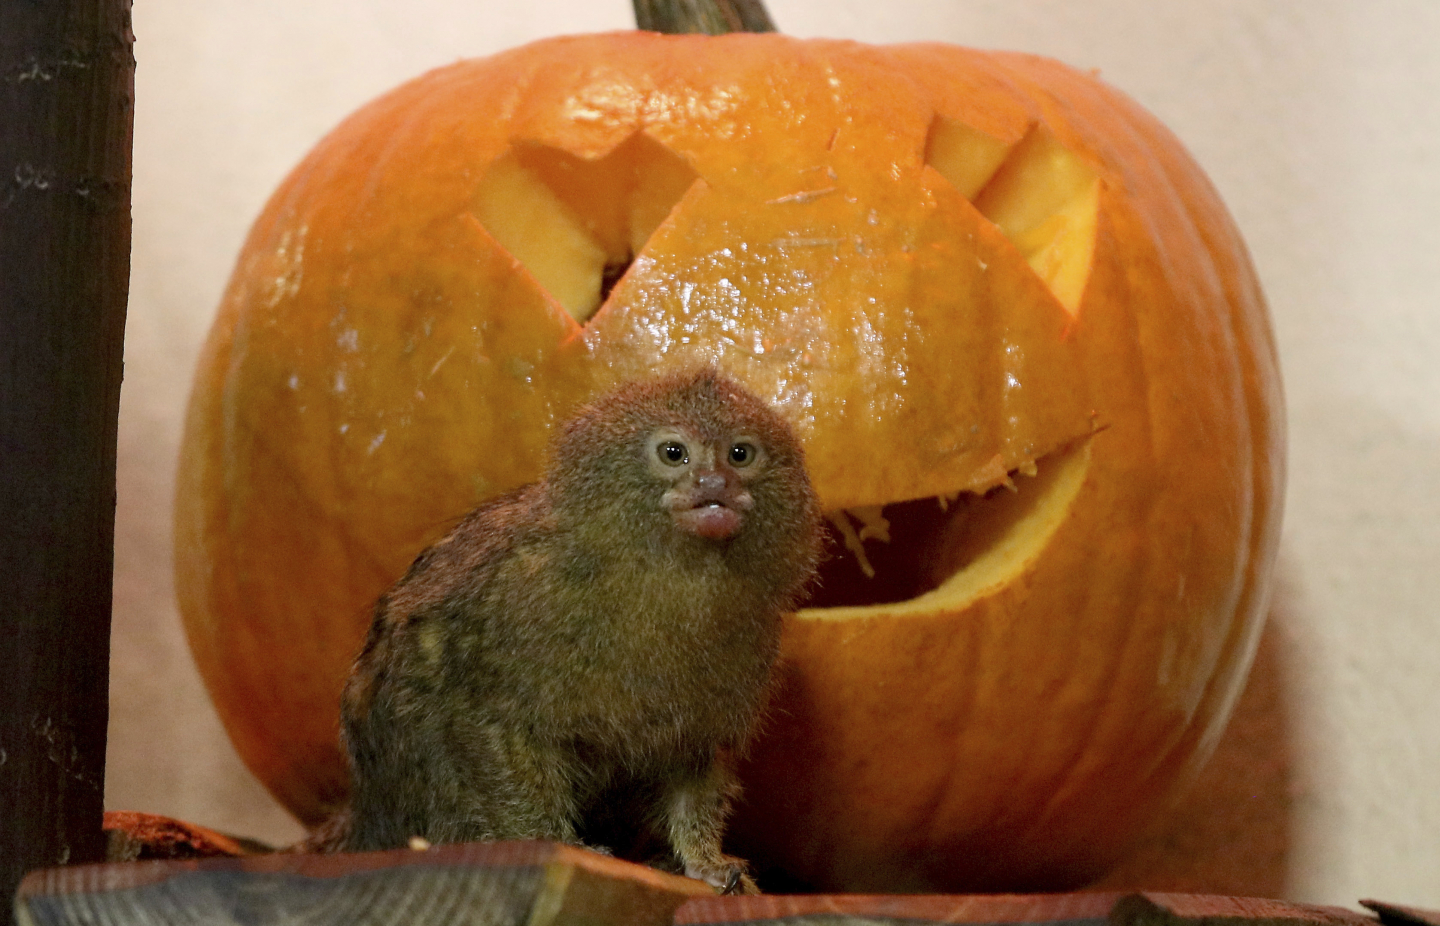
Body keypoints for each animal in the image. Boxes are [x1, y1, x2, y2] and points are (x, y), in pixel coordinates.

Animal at [312, 369, 824, 894]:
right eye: (673, 453)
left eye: (740, 453)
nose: (715, 482)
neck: (674, 572)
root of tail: (366, 819)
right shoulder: (510, 608)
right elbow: (488, 723)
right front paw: (552, 840)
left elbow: (692, 761)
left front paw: (702, 859)